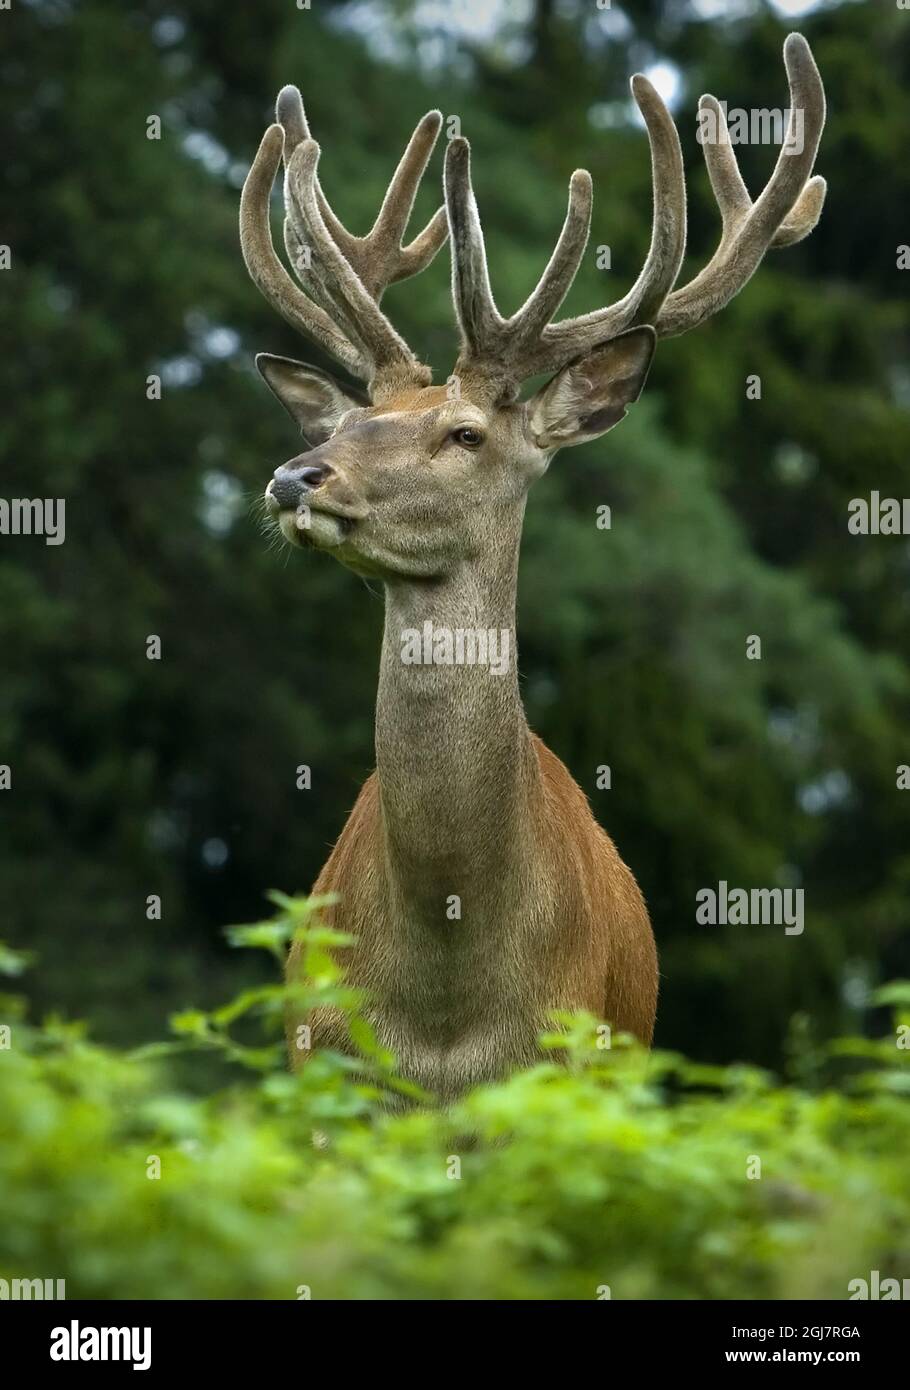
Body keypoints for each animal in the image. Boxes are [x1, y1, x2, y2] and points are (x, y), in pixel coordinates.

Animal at [239, 34, 826, 1100]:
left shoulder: (567, 1072)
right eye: (346, 423)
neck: (445, 1011)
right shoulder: (322, 1067)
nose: (295, 475)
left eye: (466, 433)